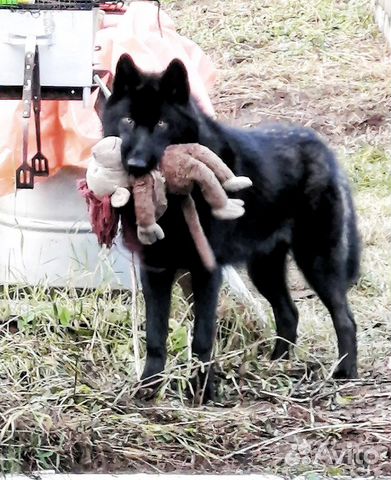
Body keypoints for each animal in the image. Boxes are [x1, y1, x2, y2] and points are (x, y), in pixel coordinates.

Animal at [102, 54, 362, 402]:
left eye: (161, 125)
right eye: (128, 121)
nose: (136, 166)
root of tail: (324, 148)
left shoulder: (206, 272)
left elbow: (202, 338)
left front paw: (203, 393)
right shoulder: (155, 271)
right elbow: (155, 338)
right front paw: (148, 388)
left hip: (316, 263)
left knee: (345, 319)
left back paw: (344, 374)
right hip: (264, 270)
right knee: (289, 313)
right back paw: (276, 365)